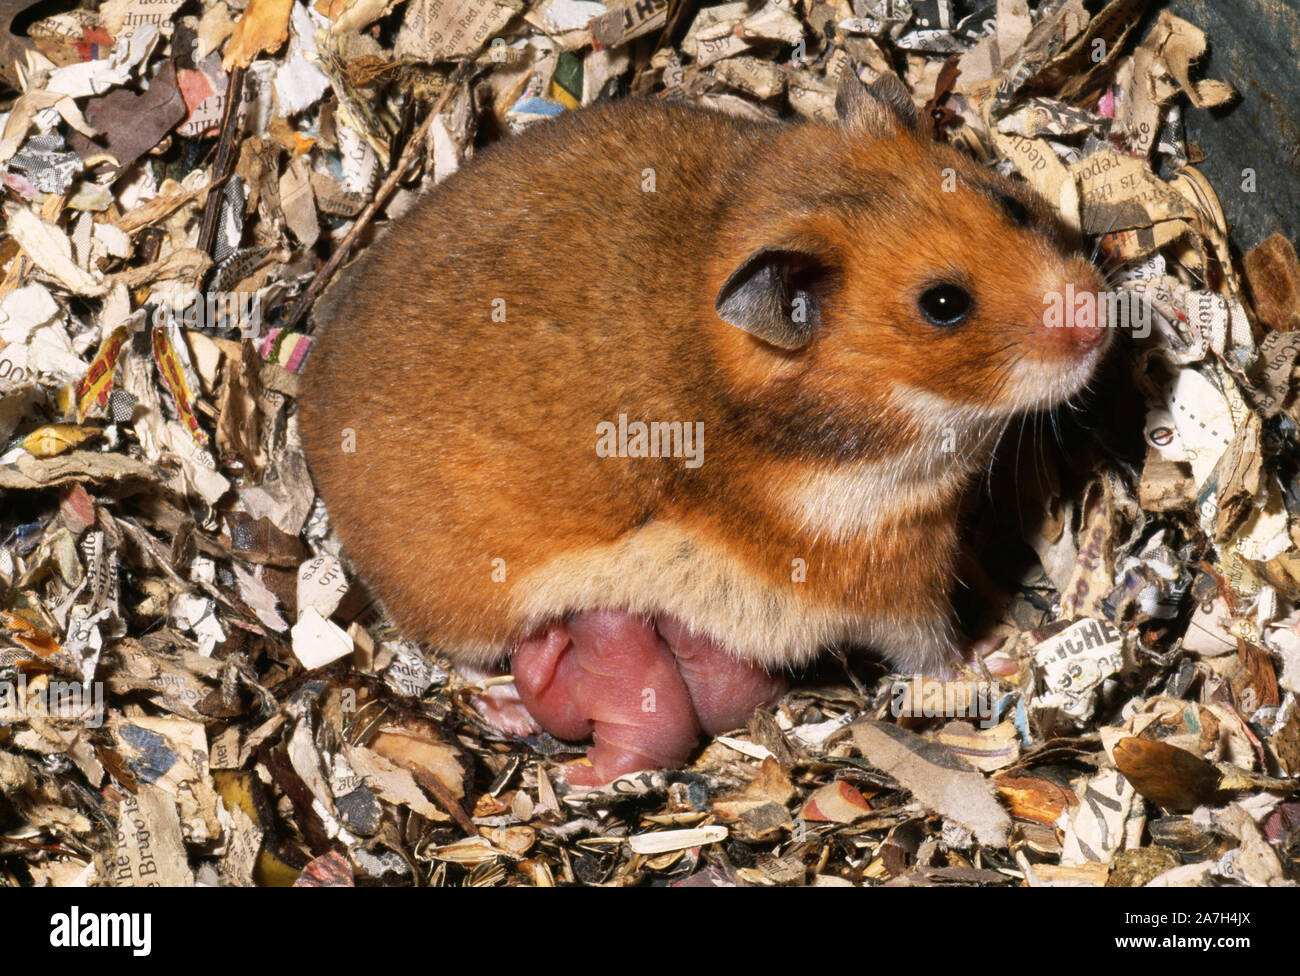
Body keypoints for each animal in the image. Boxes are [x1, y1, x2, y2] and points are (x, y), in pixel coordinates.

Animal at [299, 72, 1111, 785]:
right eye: (943, 304)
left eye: (1010, 204)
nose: (1103, 321)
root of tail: (308, 420)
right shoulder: (887, 578)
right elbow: (934, 650)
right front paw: (999, 656)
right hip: (473, 602)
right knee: (455, 653)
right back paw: (510, 710)